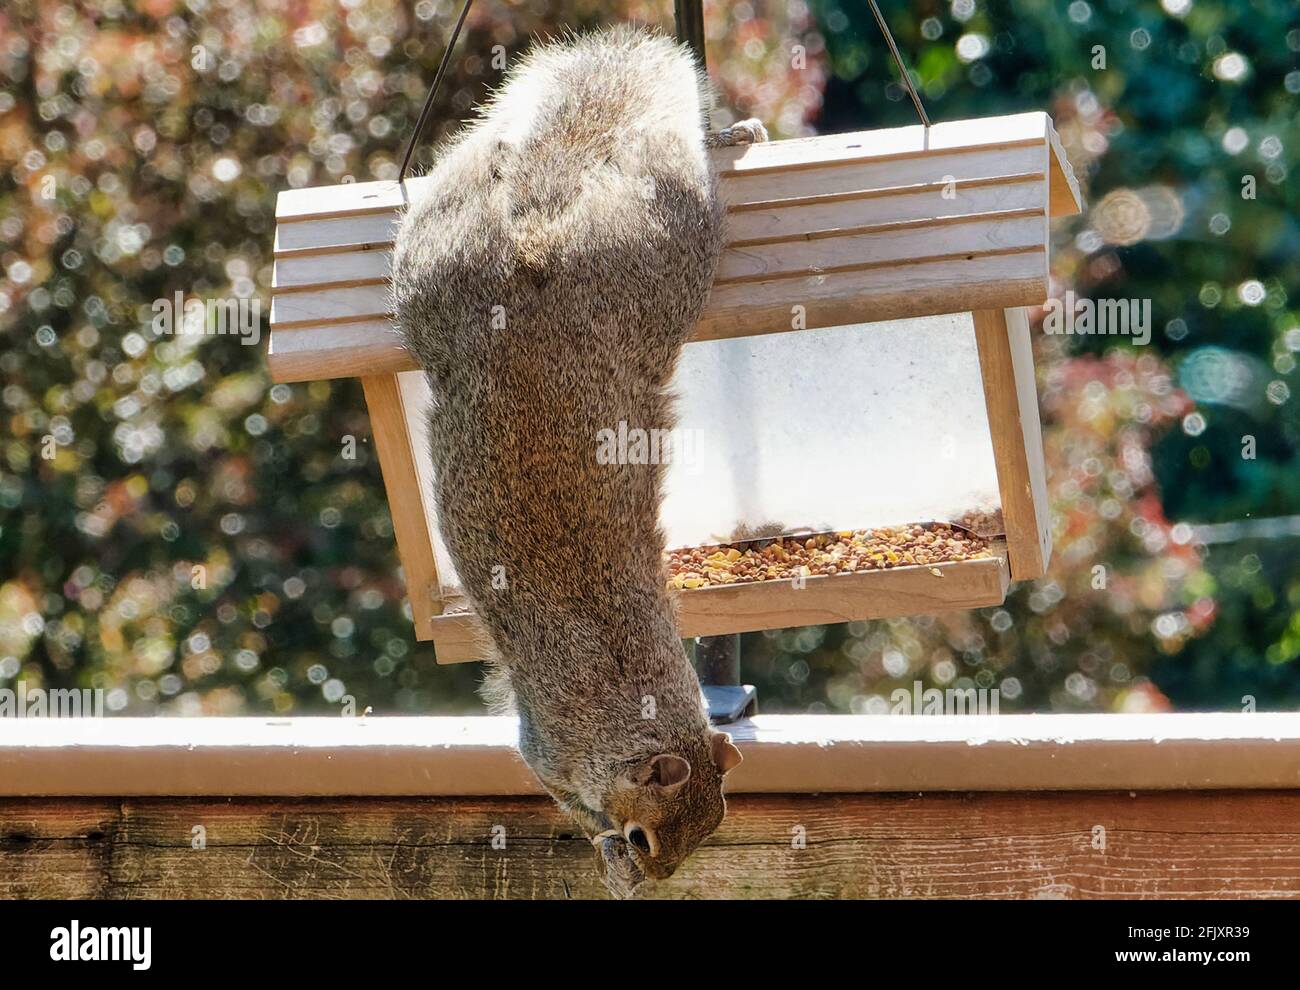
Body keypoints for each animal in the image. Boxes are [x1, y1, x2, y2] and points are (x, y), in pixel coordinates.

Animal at [391, 26, 765, 897]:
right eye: (643, 833)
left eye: (712, 829)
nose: (653, 880)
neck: (635, 705)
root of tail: (539, 243)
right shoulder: (551, 749)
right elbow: (566, 799)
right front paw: (603, 855)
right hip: (659, 250)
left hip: (459, 262)